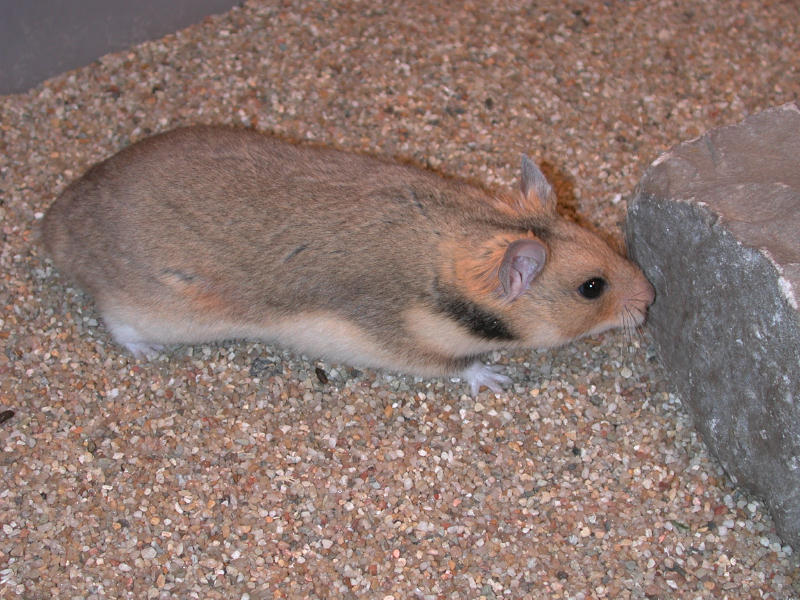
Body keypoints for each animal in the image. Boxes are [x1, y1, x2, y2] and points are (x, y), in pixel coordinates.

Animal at [42, 126, 654, 395]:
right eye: (593, 288)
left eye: (600, 237)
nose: (652, 297)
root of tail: (52, 222)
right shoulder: (400, 344)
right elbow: (457, 365)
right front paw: (495, 377)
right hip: (158, 308)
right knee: (116, 320)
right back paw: (143, 352)